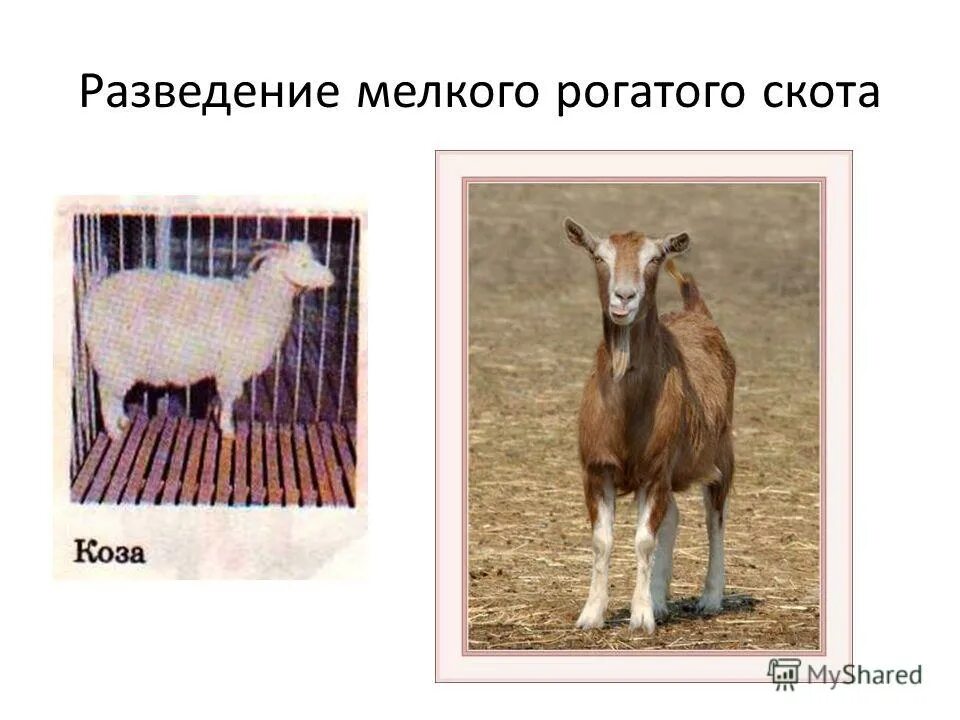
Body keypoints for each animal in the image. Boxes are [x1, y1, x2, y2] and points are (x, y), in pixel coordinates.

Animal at [82, 240, 335, 441]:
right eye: (302, 265)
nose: (331, 278)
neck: (256, 300)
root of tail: (93, 297)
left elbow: (222, 399)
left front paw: (217, 417)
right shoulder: (231, 368)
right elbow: (230, 399)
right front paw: (228, 430)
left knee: (113, 394)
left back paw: (122, 421)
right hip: (114, 358)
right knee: (106, 393)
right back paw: (114, 432)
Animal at [563, 218, 736, 634]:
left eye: (655, 259)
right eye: (598, 256)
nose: (624, 297)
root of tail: (696, 312)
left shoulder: (656, 471)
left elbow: (643, 540)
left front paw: (640, 618)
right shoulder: (597, 469)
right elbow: (602, 541)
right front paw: (592, 615)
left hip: (722, 452)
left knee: (715, 519)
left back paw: (709, 598)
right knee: (673, 518)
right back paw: (660, 599)